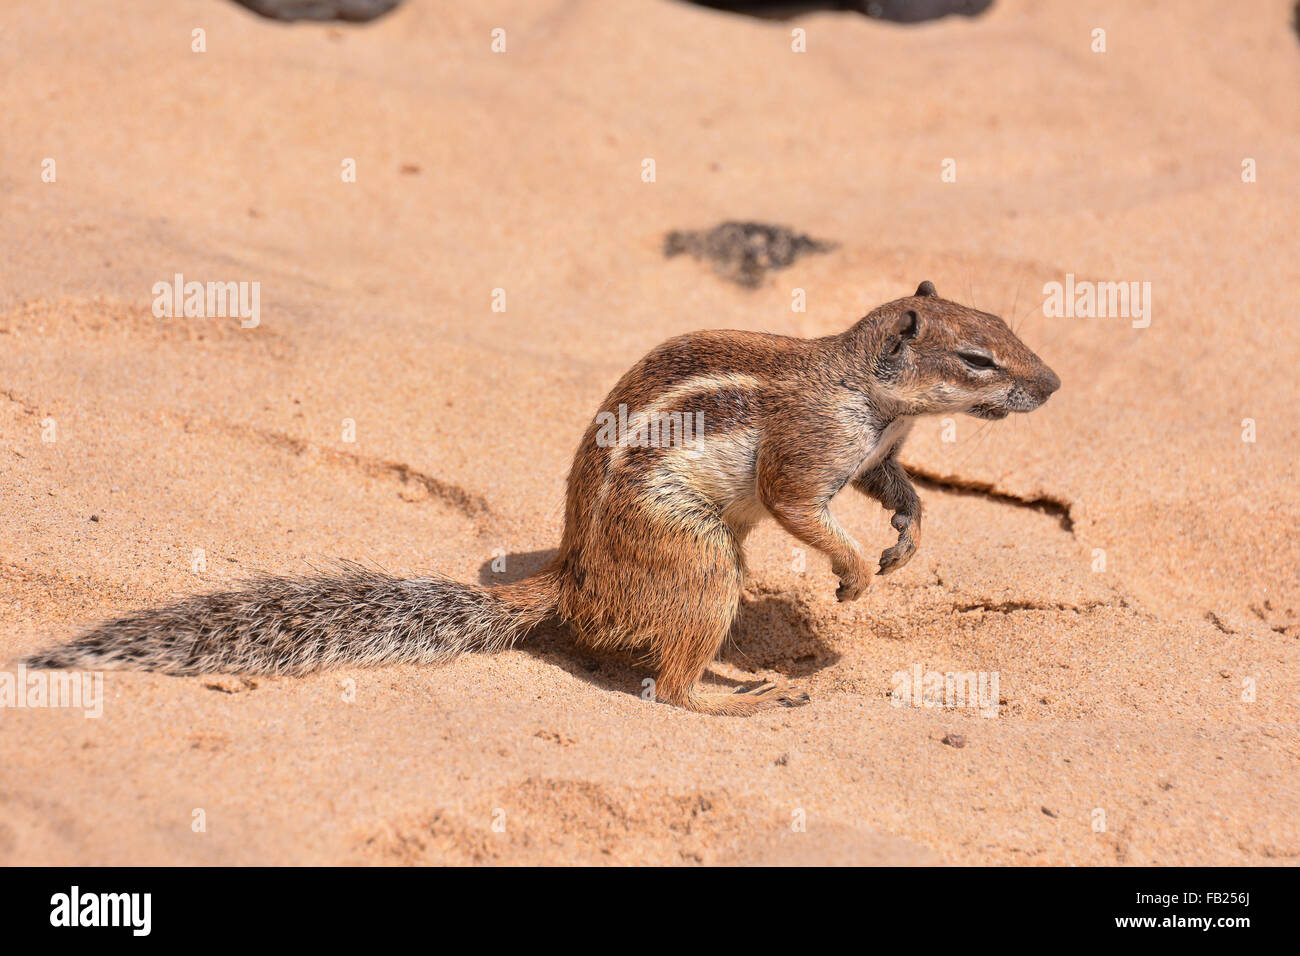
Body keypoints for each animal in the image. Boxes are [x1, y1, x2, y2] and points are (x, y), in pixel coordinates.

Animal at [23, 282, 1059, 716]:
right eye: (976, 359)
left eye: (1007, 325)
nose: (1049, 385)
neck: (868, 394)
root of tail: (574, 581)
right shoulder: (809, 451)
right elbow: (801, 506)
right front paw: (851, 574)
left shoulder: (879, 453)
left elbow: (896, 488)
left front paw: (906, 537)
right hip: (702, 569)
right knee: (669, 687)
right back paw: (740, 701)